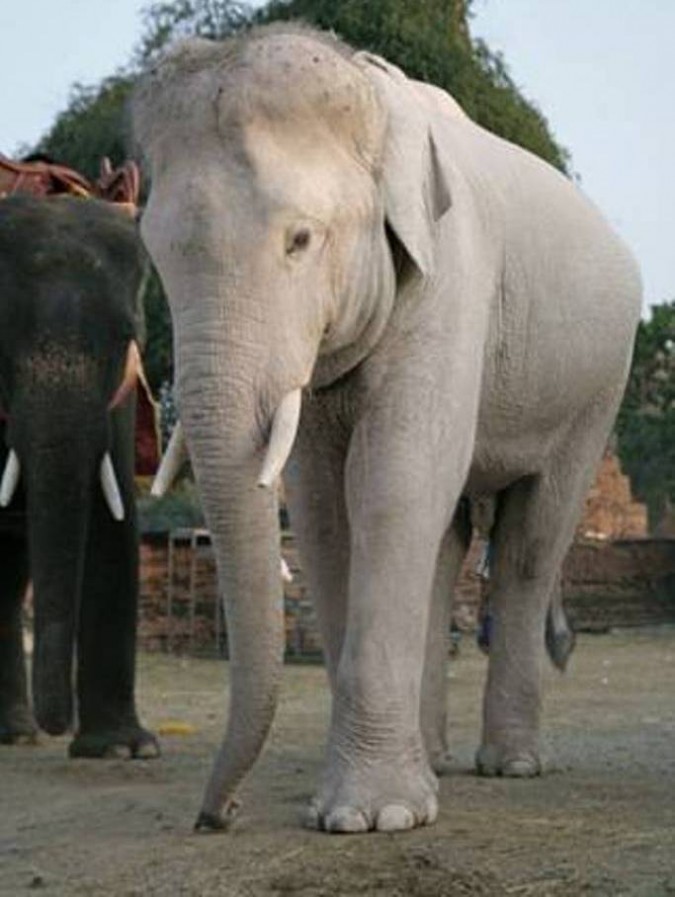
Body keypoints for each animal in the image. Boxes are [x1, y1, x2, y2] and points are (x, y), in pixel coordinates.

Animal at [0, 194, 159, 759]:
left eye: (126, 336)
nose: (60, 726)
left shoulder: (121, 391)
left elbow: (115, 521)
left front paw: (123, 749)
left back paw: (16, 732)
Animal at [133, 24, 641, 833]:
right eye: (154, 254)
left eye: (300, 240)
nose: (218, 814)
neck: (373, 99)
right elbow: (320, 508)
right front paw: (355, 804)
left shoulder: (451, 277)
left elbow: (395, 481)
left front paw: (370, 818)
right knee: (450, 539)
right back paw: (433, 758)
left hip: (598, 385)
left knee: (532, 540)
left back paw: (511, 764)